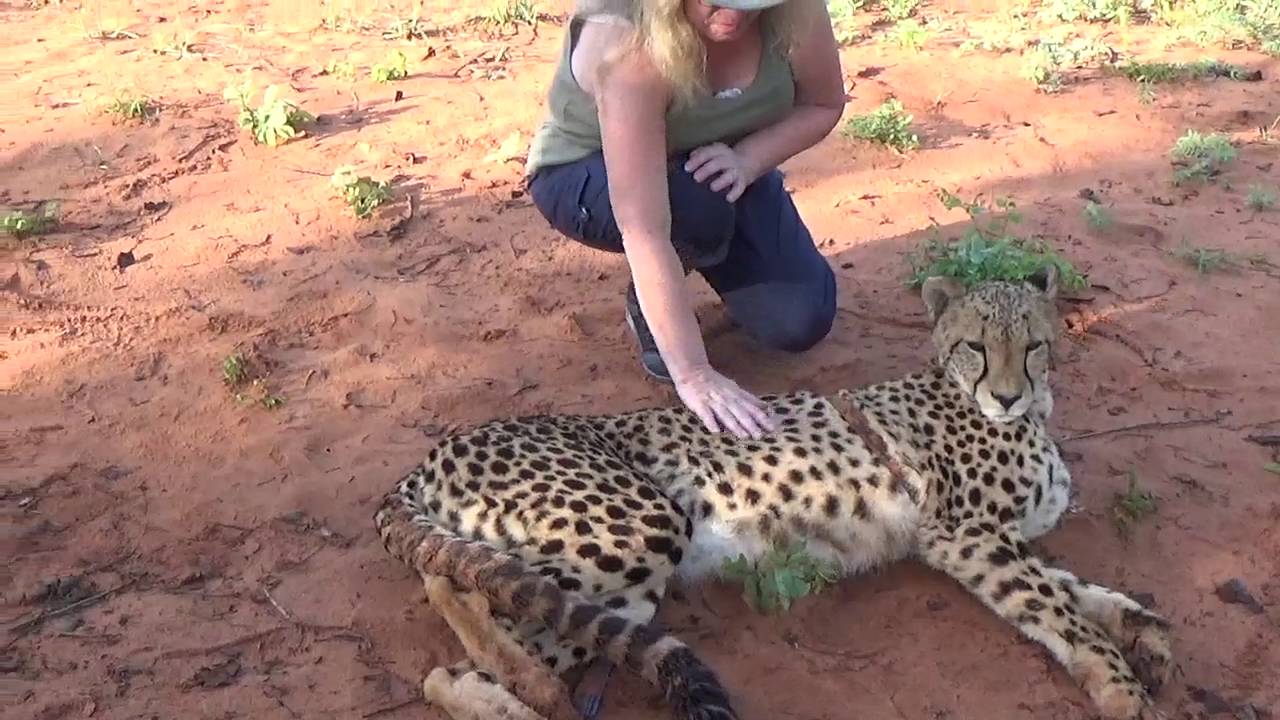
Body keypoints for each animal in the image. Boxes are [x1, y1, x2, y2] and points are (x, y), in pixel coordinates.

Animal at [375, 265, 1174, 720]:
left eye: (1034, 345)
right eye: (976, 346)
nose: (1007, 396)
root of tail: (429, 456)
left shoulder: (981, 540)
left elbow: (1081, 594)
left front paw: (1146, 636)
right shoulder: (966, 533)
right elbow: (1064, 614)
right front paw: (1126, 695)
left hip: (615, 587)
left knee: (454, 660)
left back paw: (512, 697)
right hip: (637, 524)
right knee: (458, 586)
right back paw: (524, 684)